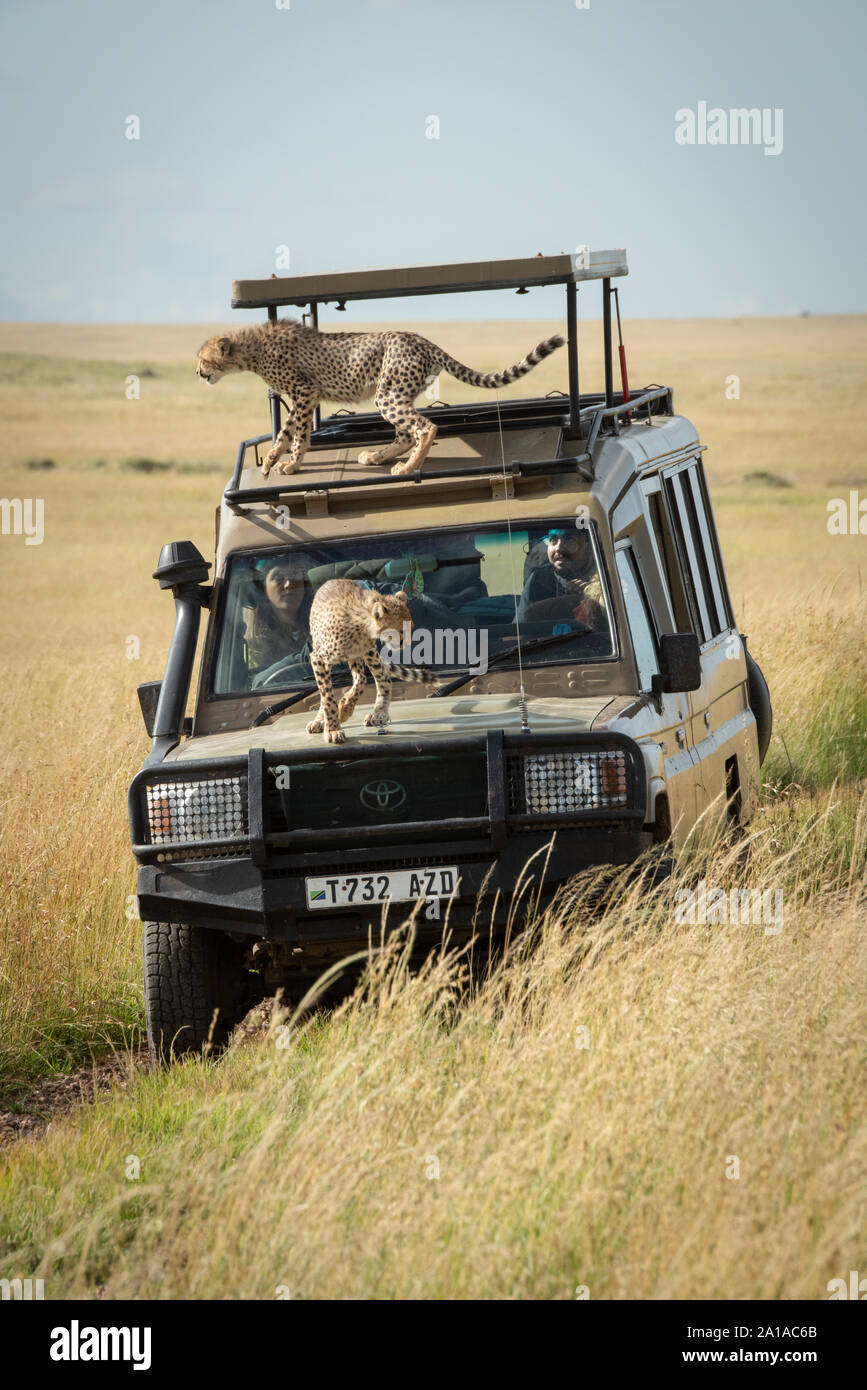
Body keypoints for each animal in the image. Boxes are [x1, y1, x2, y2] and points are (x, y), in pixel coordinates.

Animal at [196, 321, 565, 478]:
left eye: (203, 359)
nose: (198, 373)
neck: (250, 350)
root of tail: (421, 338)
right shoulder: (307, 397)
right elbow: (290, 432)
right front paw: (276, 460)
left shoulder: (304, 392)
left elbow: (295, 433)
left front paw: (289, 463)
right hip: (395, 392)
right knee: (405, 433)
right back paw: (376, 457)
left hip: (388, 394)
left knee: (424, 427)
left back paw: (407, 467)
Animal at [305, 579, 434, 744]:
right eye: (400, 630)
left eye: (410, 627)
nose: (407, 643)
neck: (362, 625)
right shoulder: (319, 659)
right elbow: (327, 698)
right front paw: (333, 728)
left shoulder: (363, 652)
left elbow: (362, 681)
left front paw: (344, 710)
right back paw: (320, 721)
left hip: (369, 655)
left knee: (382, 679)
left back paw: (379, 713)